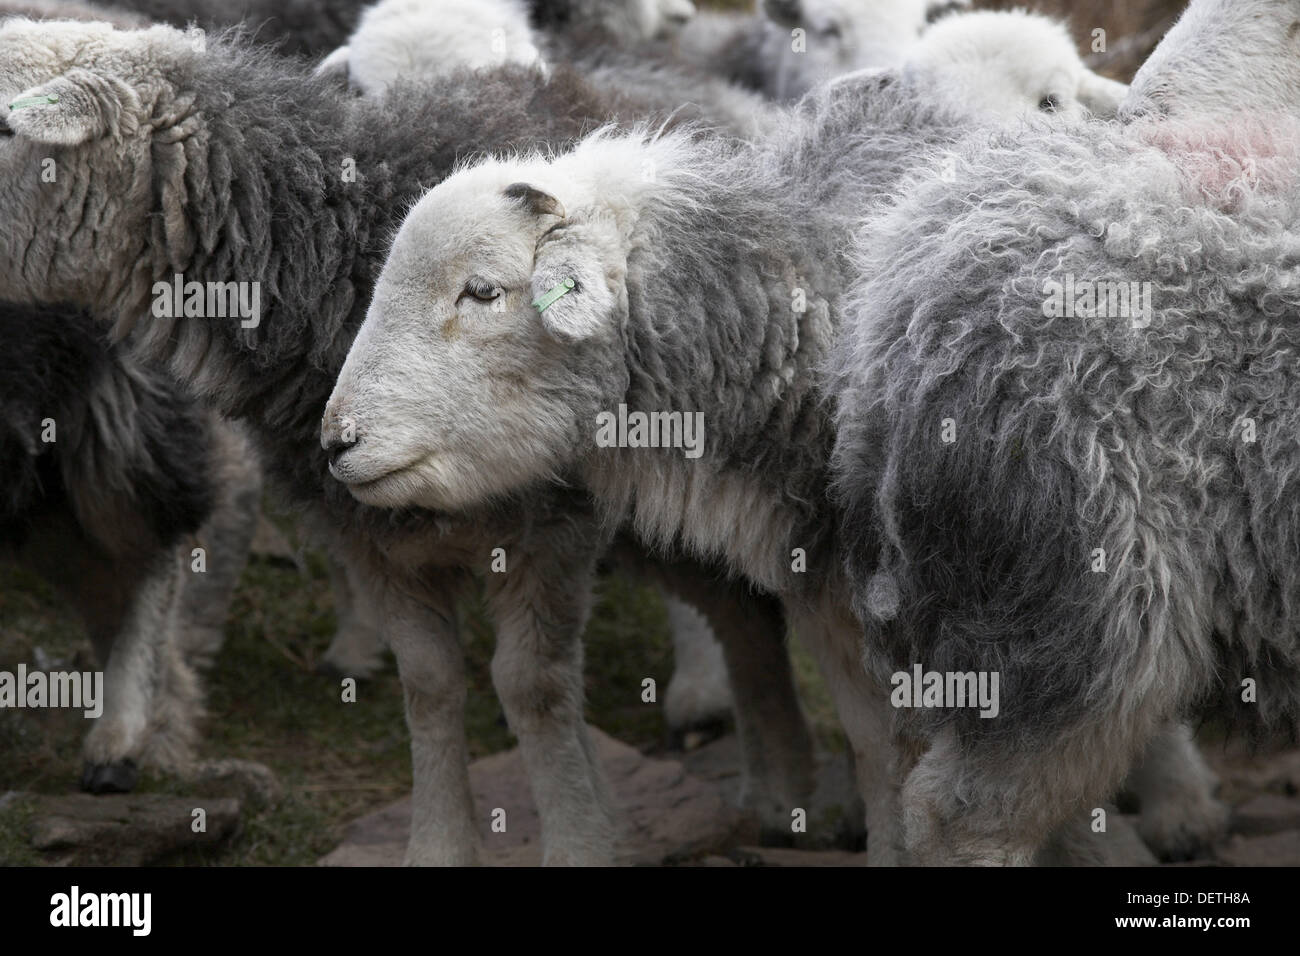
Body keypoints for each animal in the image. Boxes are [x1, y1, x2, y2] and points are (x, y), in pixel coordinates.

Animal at [0, 19, 813, 864]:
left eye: (9, 127)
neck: (338, 241)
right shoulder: (371, 534)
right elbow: (431, 685)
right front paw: (445, 843)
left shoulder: (549, 529)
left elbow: (535, 688)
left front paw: (580, 839)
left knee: (747, 612)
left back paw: (780, 782)